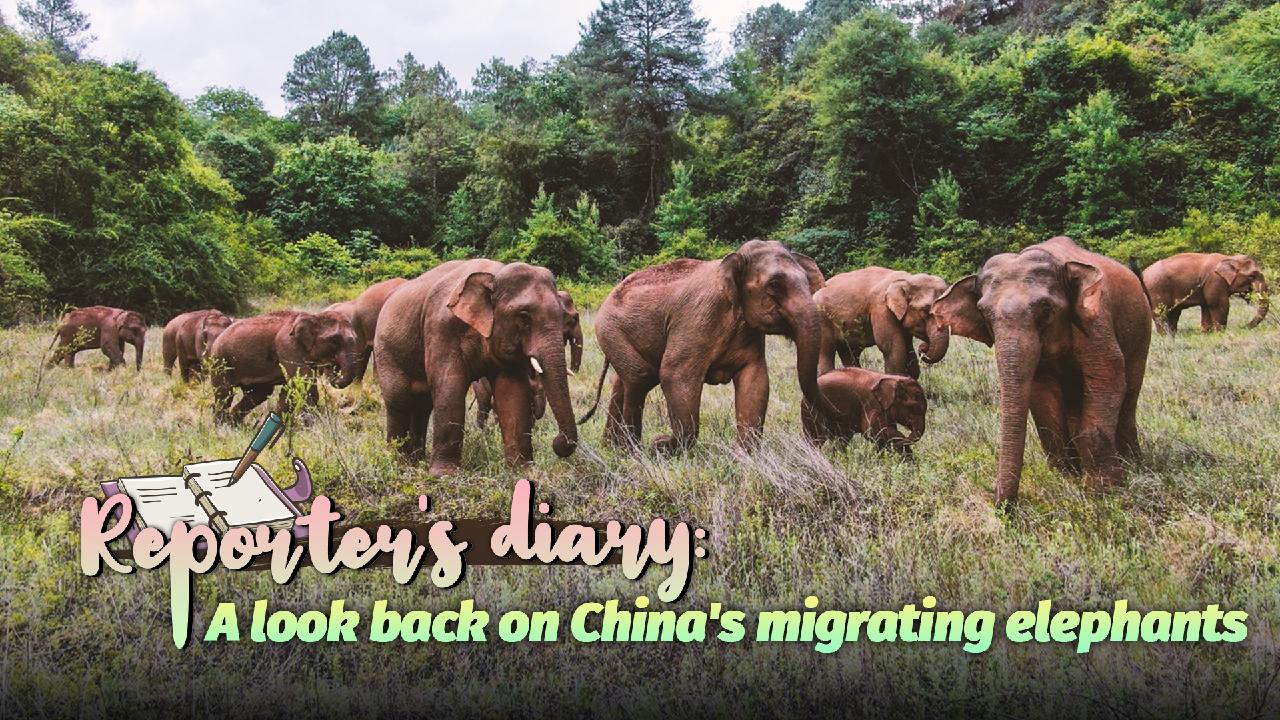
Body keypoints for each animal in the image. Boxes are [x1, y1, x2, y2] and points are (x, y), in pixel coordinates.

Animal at [208, 310, 361, 424]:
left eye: (356, 338)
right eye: (334, 340)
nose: (331, 368)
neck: (314, 316)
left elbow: (290, 389)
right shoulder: (288, 345)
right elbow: (304, 387)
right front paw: (315, 427)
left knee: (260, 393)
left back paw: (234, 423)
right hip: (220, 359)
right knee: (225, 392)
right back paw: (221, 426)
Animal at [585, 239, 837, 454]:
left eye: (806, 281)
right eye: (774, 284)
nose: (660, 439)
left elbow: (756, 381)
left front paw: (745, 457)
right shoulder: (696, 319)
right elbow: (676, 375)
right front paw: (661, 446)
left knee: (624, 382)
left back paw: (612, 449)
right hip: (609, 328)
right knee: (640, 376)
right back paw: (632, 450)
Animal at [814, 267, 949, 378]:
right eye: (925, 310)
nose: (923, 347)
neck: (906, 279)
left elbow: (908, 348)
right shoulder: (881, 309)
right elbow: (892, 346)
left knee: (850, 352)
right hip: (821, 319)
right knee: (826, 351)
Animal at [919, 236, 1151, 504]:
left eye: (1045, 309)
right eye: (984, 314)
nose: (1000, 505)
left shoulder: (1095, 320)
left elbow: (1107, 377)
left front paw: (1102, 490)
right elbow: (1042, 393)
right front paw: (1066, 479)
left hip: (1141, 337)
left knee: (1129, 392)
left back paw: (1134, 464)